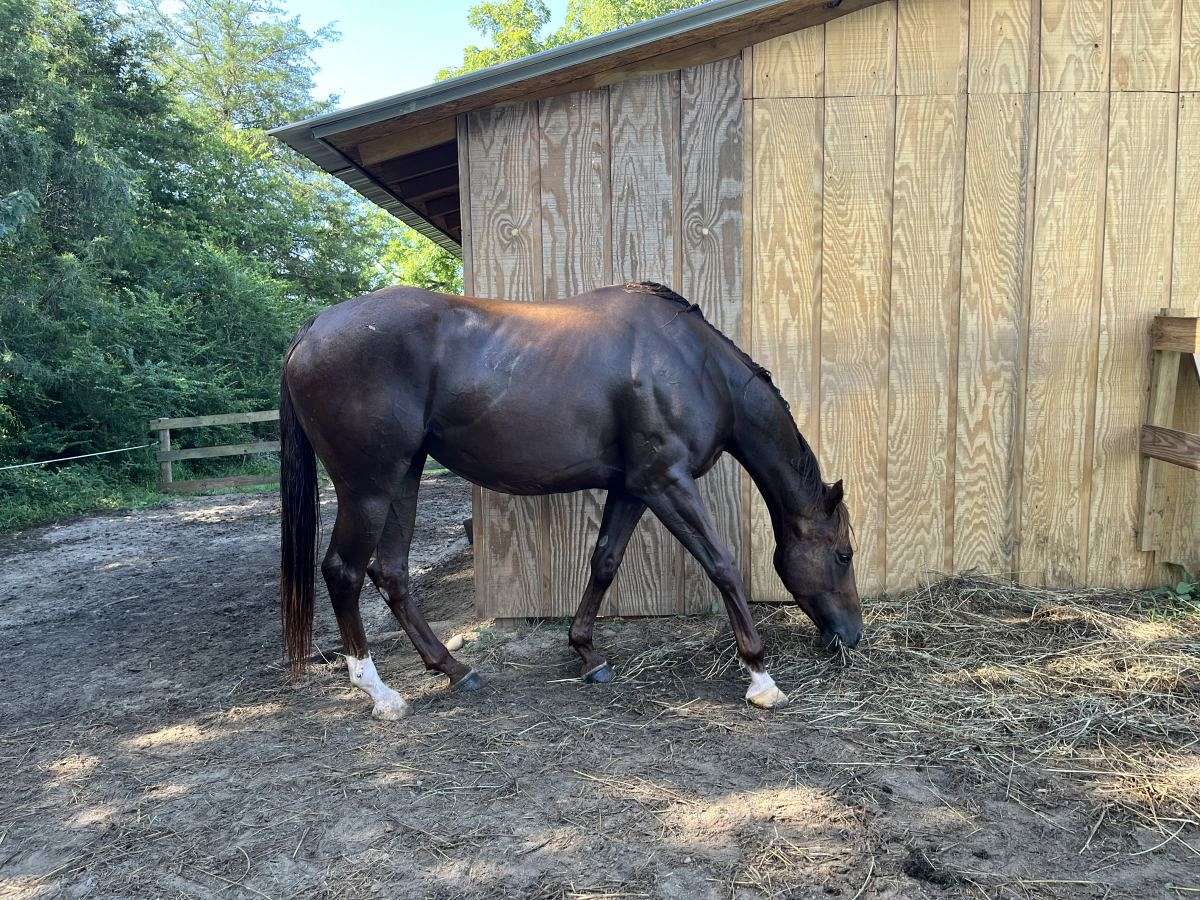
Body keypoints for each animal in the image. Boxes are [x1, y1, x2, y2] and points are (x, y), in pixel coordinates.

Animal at [279, 282, 862, 720]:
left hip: (405, 475)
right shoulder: (666, 482)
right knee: (344, 572)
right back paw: (381, 694)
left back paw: (455, 670)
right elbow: (721, 565)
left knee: (392, 572)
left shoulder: (632, 488)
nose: (852, 636)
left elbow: (604, 561)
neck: (695, 367)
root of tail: (313, 327)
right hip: (369, 485)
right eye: (844, 554)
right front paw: (761, 676)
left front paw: (586, 653)